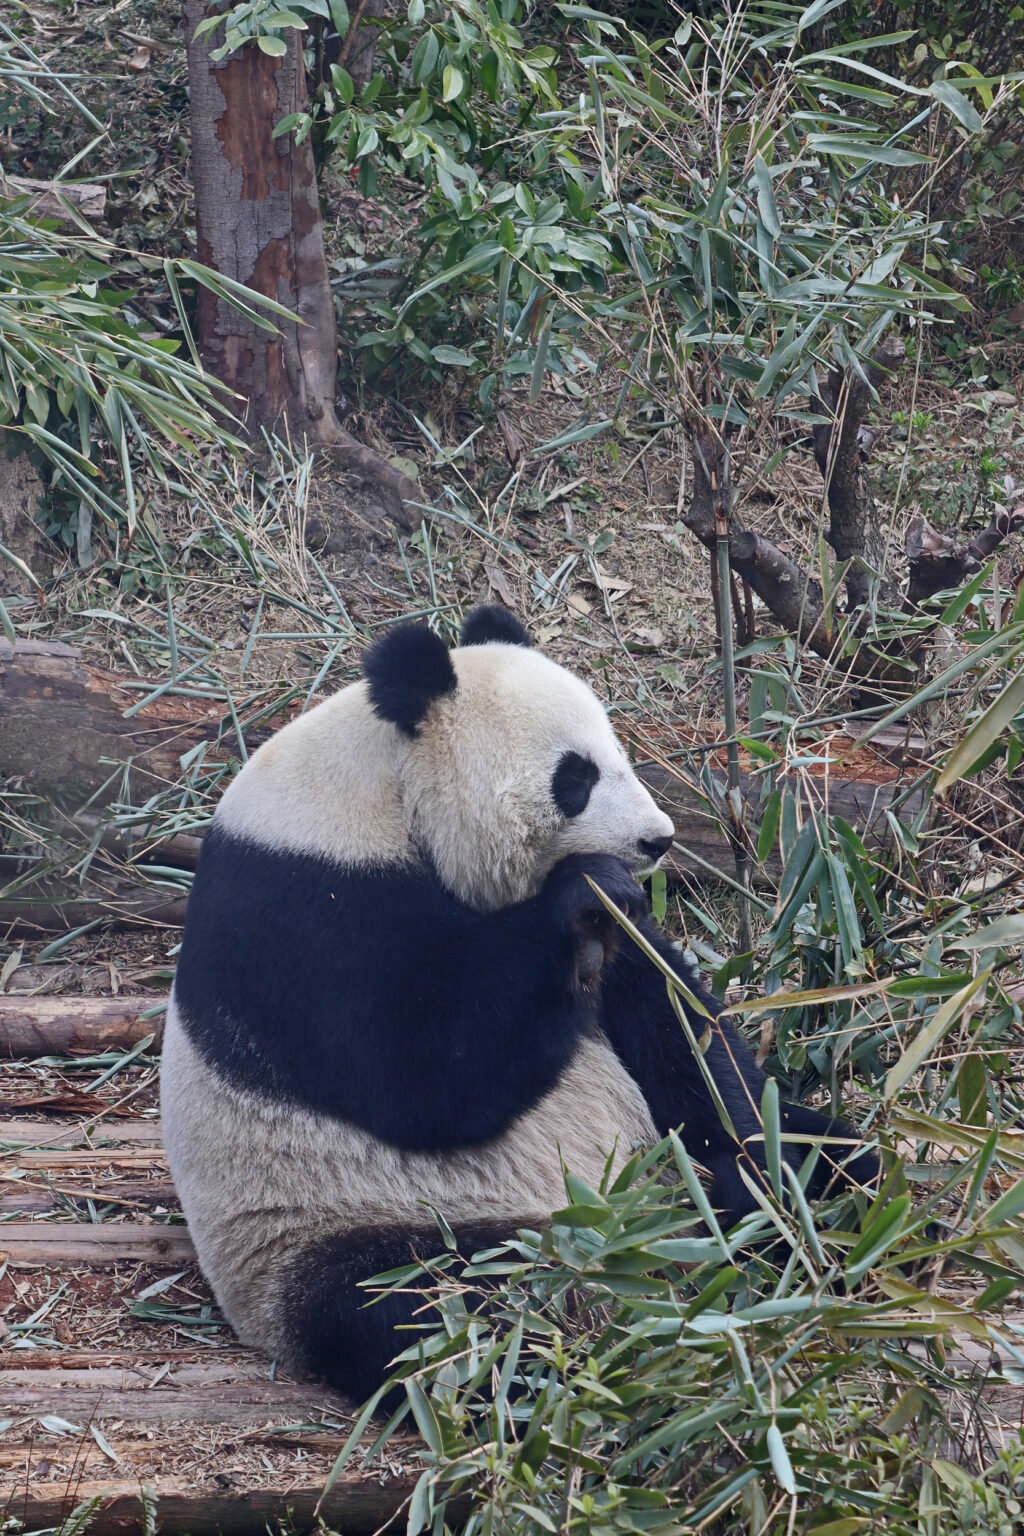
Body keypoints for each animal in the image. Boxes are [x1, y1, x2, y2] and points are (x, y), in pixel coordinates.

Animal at [161, 605, 877, 1406]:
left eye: (619, 753)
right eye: (577, 777)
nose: (658, 840)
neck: (381, 791)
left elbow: (682, 1037)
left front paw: (754, 1171)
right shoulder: (302, 913)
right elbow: (423, 1073)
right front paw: (581, 890)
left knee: (848, 1156)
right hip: (342, 1226)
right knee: (429, 1306)